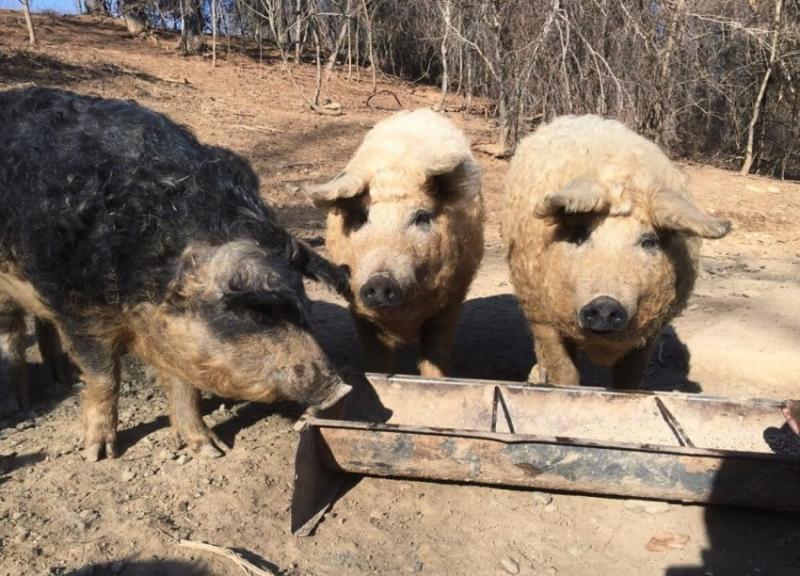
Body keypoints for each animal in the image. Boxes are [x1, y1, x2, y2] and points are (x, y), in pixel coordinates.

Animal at [0, 87, 352, 460]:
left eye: (301, 308)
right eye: (255, 314)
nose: (341, 388)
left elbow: (185, 385)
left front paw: (211, 450)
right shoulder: (78, 310)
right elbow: (104, 378)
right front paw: (99, 454)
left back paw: (63, 380)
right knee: (10, 330)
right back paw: (16, 407)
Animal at [303, 109, 484, 377]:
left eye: (422, 217)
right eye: (361, 216)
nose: (380, 281)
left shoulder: (450, 303)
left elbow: (435, 359)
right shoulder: (358, 310)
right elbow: (377, 361)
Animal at [503, 115, 731, 389]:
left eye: (649, 241)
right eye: (579, 235)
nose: (604, 304)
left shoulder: (653, 329)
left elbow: (630, 377)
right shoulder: (542, 314)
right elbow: (565, 374)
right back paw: (537, 378)